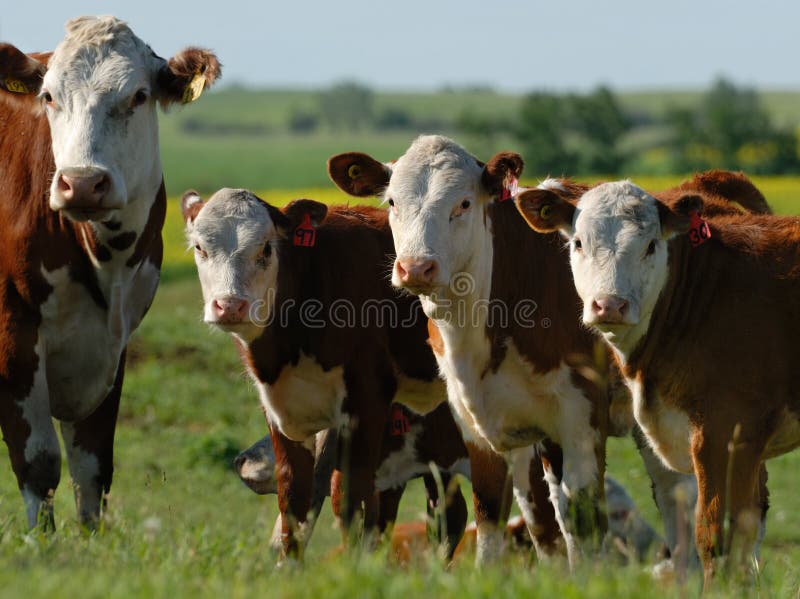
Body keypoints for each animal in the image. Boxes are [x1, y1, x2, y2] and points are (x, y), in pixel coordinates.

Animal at [0, 16, 219, 529]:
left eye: (138, 95)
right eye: (48, 97)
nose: (81, 182)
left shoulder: (113, 341)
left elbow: (93, 468)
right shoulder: (13, 332)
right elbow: (38, 463)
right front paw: (42, 542)